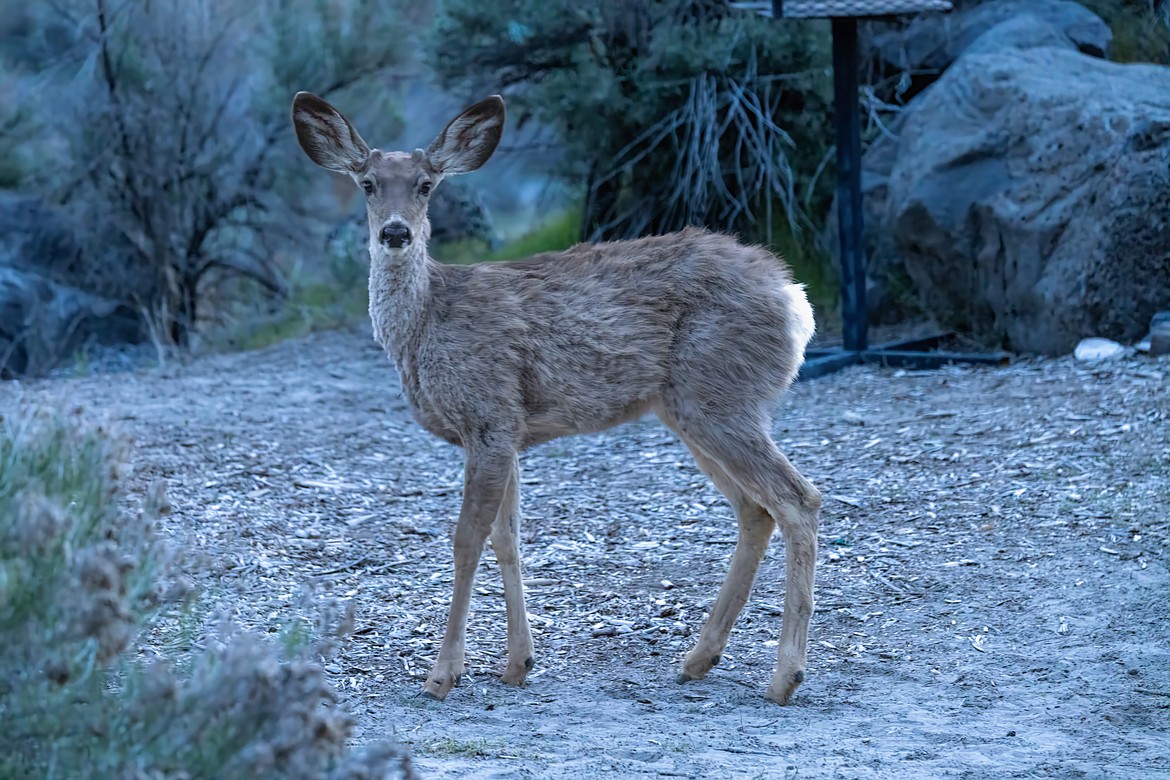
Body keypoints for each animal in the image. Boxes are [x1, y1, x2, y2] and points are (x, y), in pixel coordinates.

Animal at [290, 92, 822, 705]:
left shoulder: (490, 412)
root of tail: (794, 297)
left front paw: (443, 673)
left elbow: (467, 538)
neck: (424, 325)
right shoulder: (507, 431)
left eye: (426, 185)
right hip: (693, 407)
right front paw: (517, 663)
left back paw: (783, 676)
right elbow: (508, 537)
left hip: (720, 395)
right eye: (369, 183)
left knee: (797, 499)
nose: (396, 233)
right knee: (755, 509)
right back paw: (697, 659)